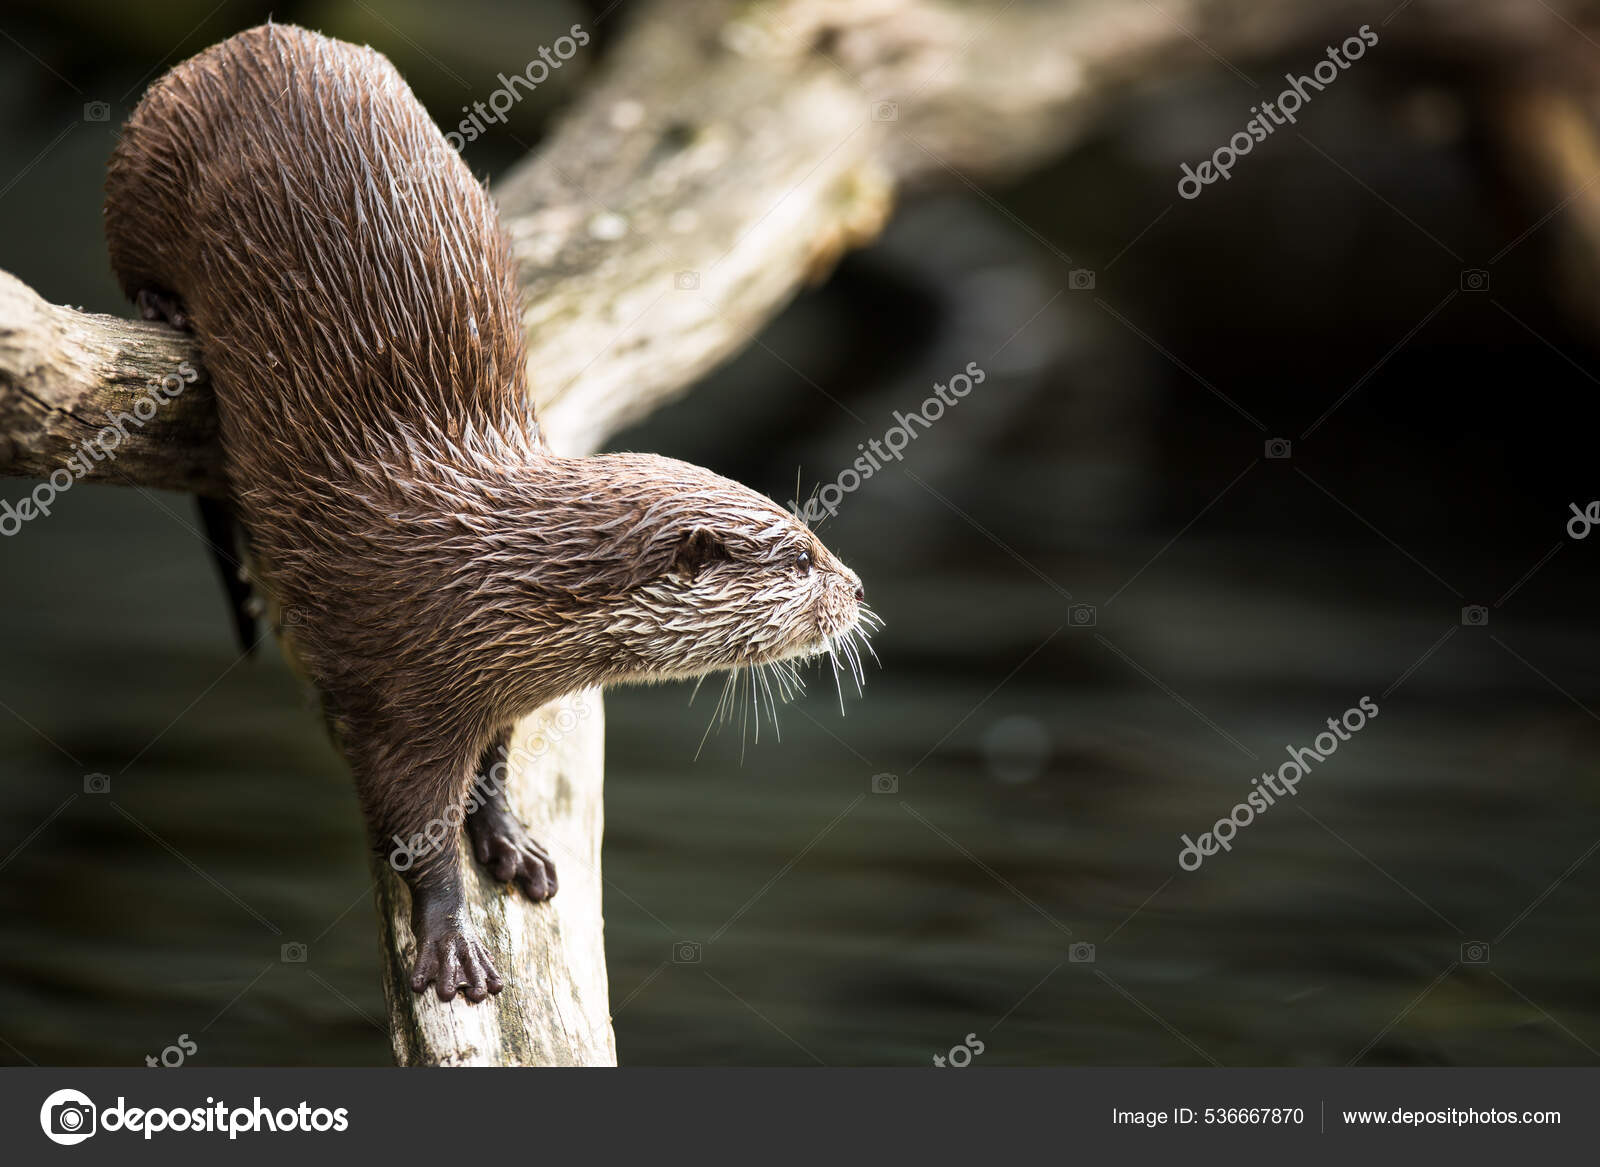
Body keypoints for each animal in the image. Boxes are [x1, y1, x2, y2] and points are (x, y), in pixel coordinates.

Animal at [104, 24, 873, 1002]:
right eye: (800, 555)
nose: (856, 586)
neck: (485, 580)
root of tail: (260, 34)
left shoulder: (497, 688)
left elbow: (496, 767)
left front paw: (510, 843)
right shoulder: (399, 688)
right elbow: (414, 824)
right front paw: (450, 937)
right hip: (145, 163)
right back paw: (161, 304)